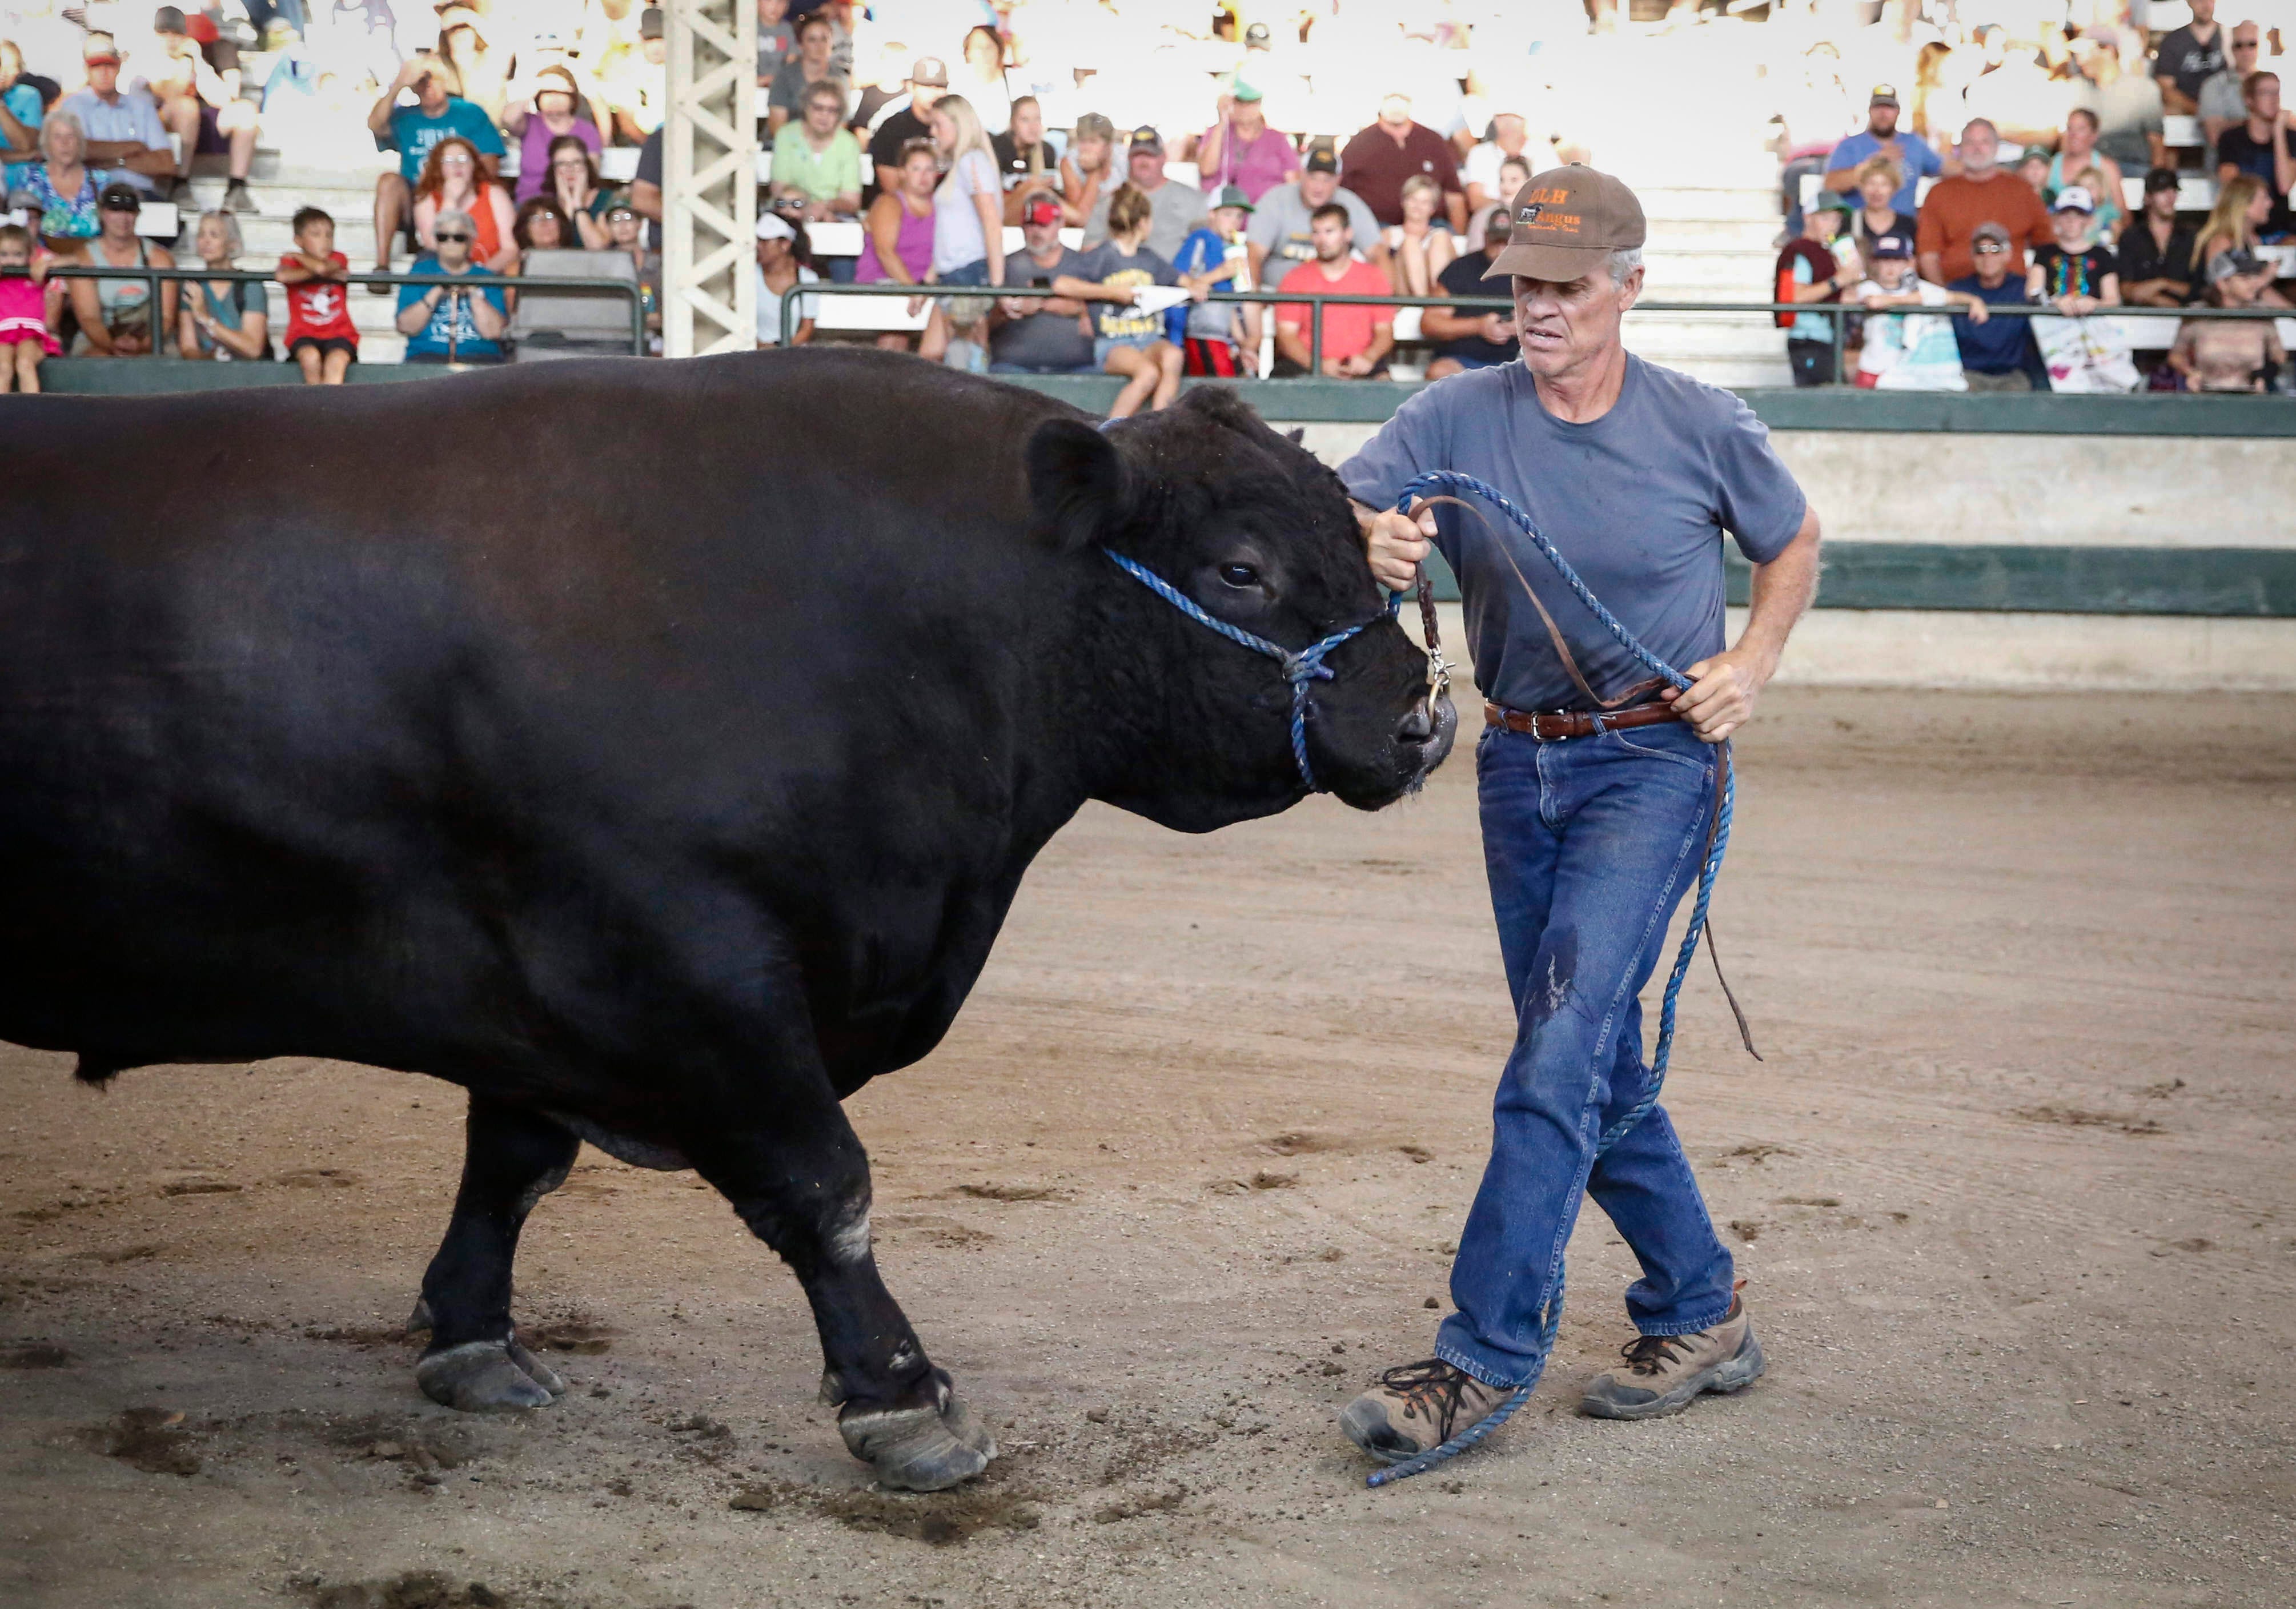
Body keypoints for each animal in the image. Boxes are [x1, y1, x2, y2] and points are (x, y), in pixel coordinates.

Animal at [0, 349, 1455, 1491]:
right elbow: (823, 1185)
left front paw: (472, 1335)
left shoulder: (539, 983)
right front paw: (900, 1397)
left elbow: (511, 1160)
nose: (1420, 717)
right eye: (1242, 566)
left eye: (1354, 534)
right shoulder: (675, 958)